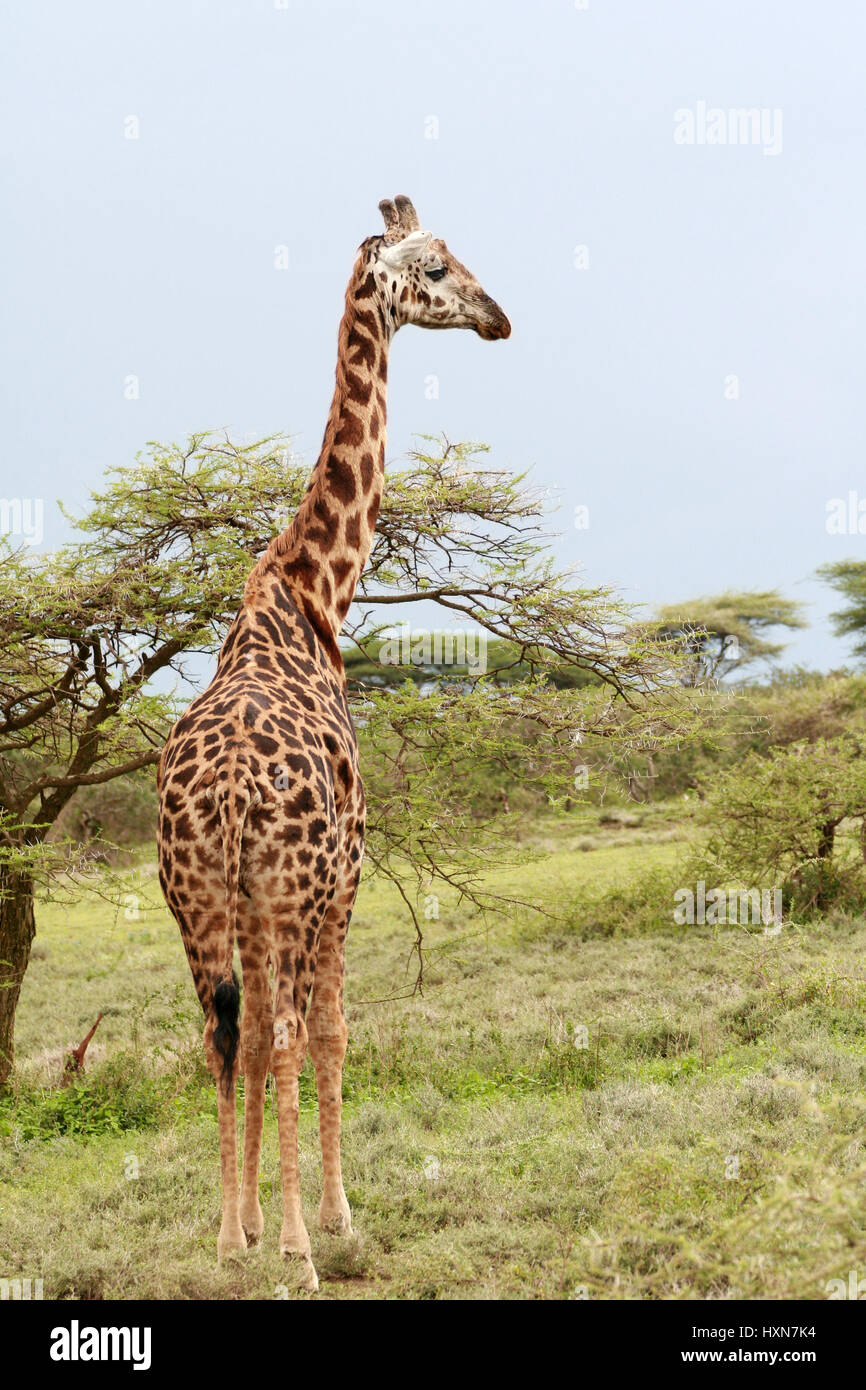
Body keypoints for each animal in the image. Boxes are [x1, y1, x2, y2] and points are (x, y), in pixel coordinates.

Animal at [156, 195, 510, 1291]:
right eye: (435, 267)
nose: (498, 317)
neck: (315, 592)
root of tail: (228, 792)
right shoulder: (346, 870)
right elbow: (331, 1033)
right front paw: (333, 1219)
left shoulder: (261, 898)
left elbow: (258, 1042)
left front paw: (247, 1228)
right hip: (286, 887)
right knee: (277, 1031)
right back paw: (301, 1249)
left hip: (197, 897)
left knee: (221, 1034)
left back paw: (230, 1238)